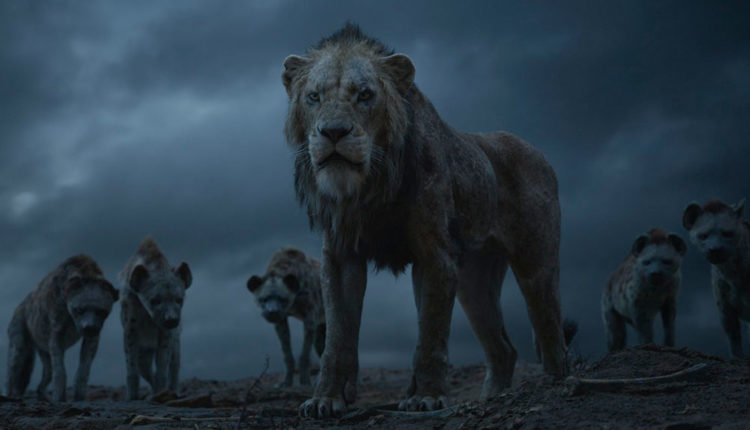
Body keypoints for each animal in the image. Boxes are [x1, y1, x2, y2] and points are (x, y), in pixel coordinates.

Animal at [282, 23, 567, 418]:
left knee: (549, 326)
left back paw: (553, 384)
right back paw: (492, 398)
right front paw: (326, 399)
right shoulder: (340, 257)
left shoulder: (434, 254)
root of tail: (540, 154)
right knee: (504, 349)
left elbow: (430, 331)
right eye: (313, 96)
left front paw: (426, 397)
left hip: (535, 264)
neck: (369, 186)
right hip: (473, 282)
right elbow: (337, 337)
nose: (334, 132)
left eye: (365, 95)